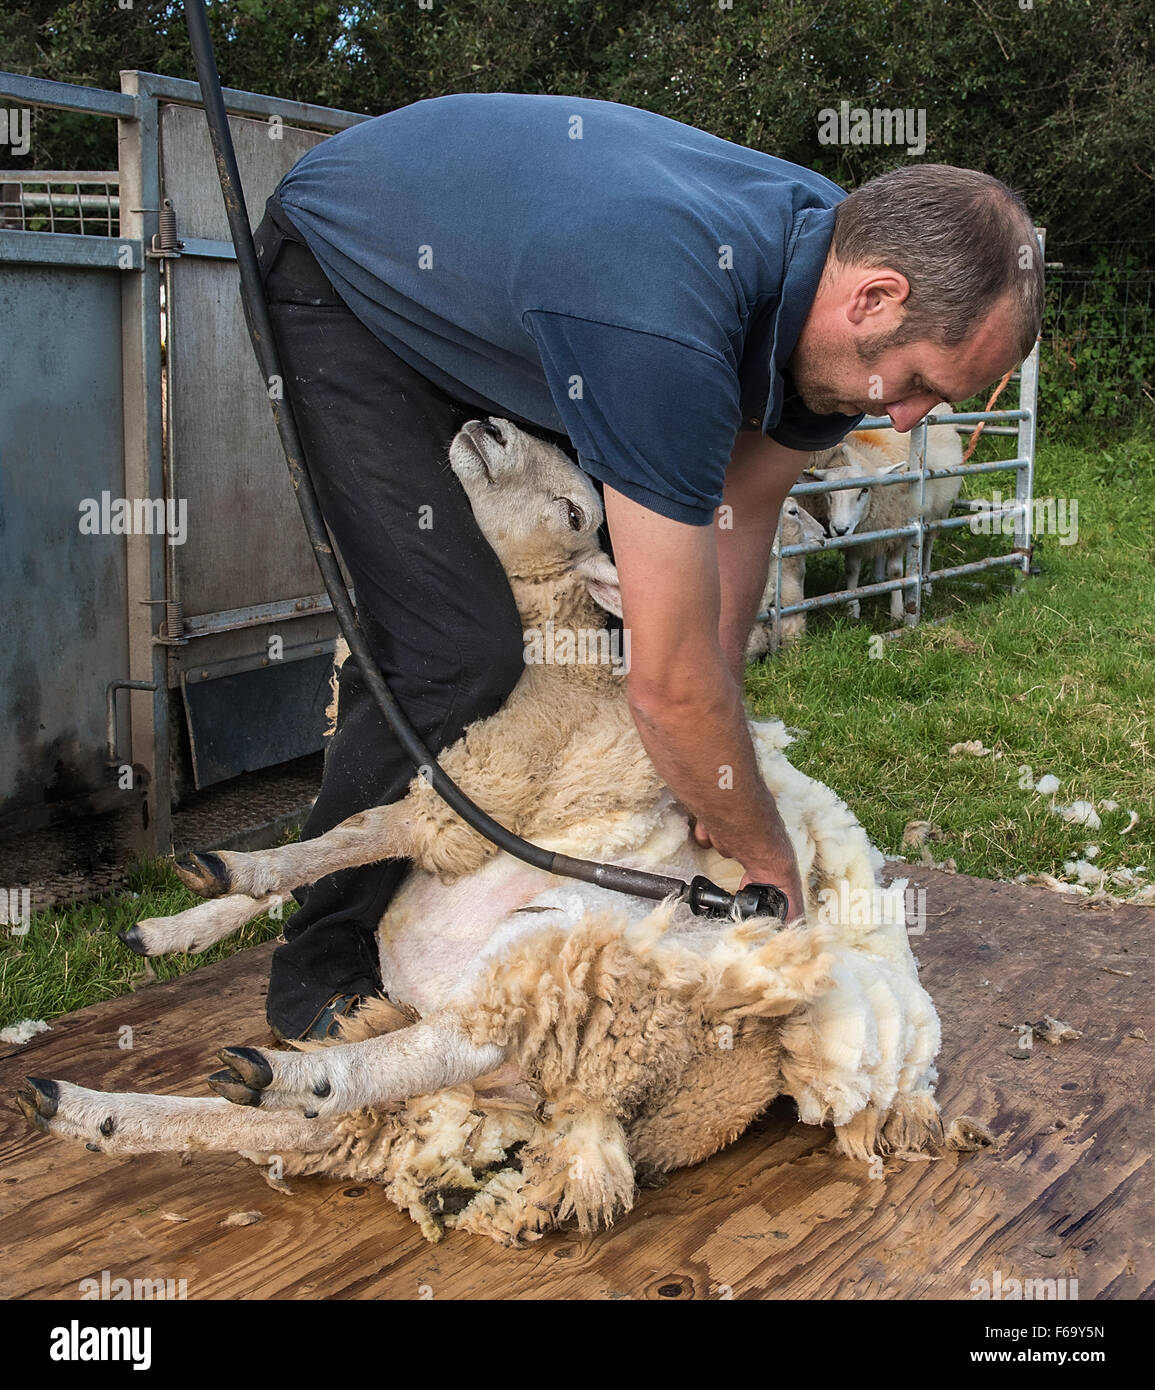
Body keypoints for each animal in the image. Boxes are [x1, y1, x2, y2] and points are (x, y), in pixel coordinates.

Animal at [806, 425, 964, 620]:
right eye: (828, 493)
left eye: (864, 490)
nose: (840, 530)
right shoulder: (858, 539)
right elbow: (851, 568)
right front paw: (852, 607)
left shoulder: (900, 531)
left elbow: (895, 571)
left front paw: (897, 612)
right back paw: (877, 579)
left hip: (936, 513)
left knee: (927, 546)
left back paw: (926, 584)